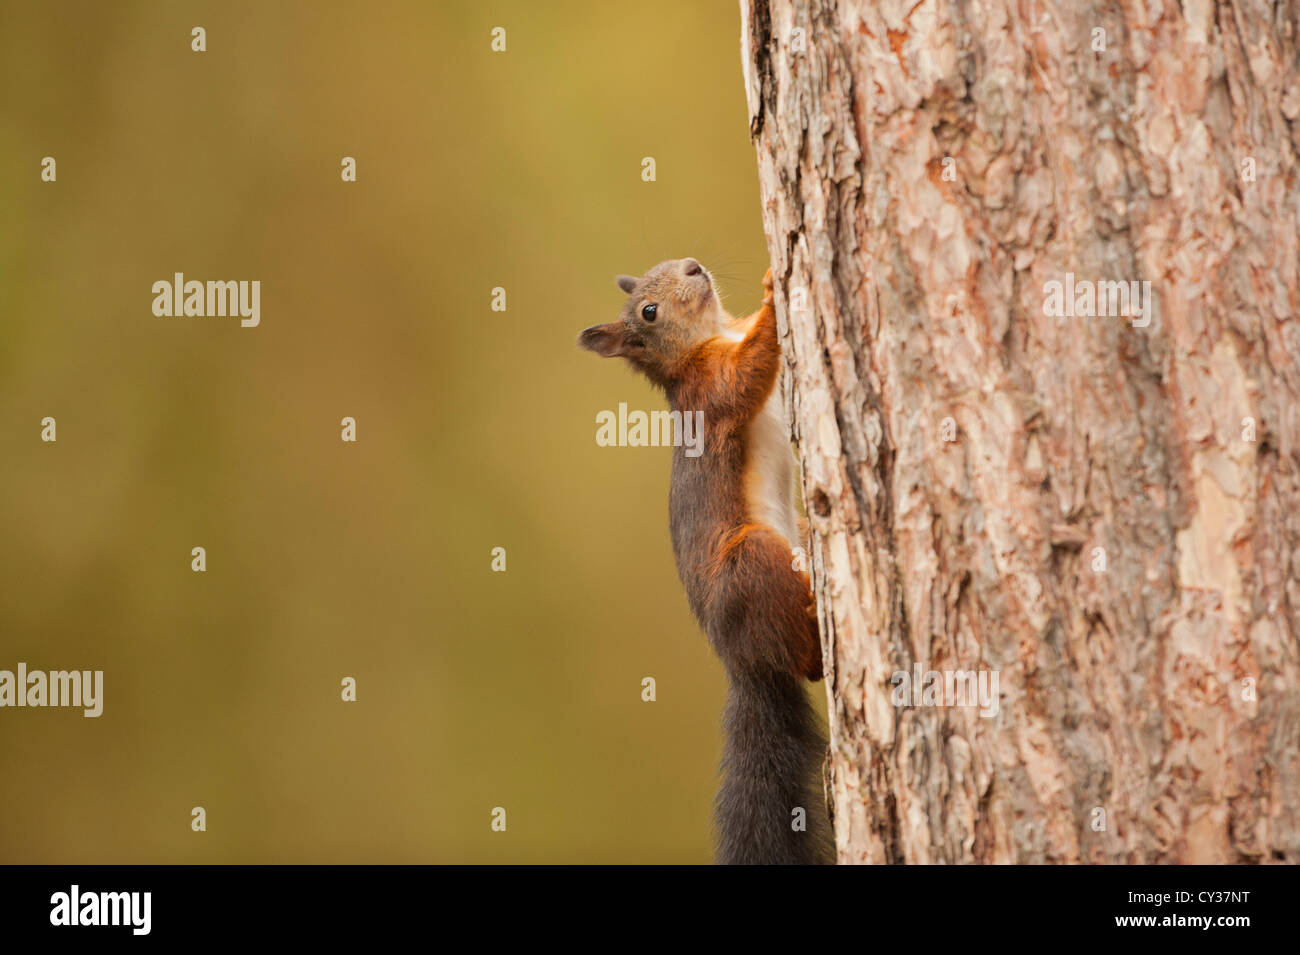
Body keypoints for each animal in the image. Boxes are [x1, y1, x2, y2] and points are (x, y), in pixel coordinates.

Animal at [579, 258, 832, 865]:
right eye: (648, 312)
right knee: (809, 662)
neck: (712, 332)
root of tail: (744, 662)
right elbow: (743, 380)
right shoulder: (709, 393)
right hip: (751, 563)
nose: (694, 266)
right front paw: (771, 294)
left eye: (666, 263)